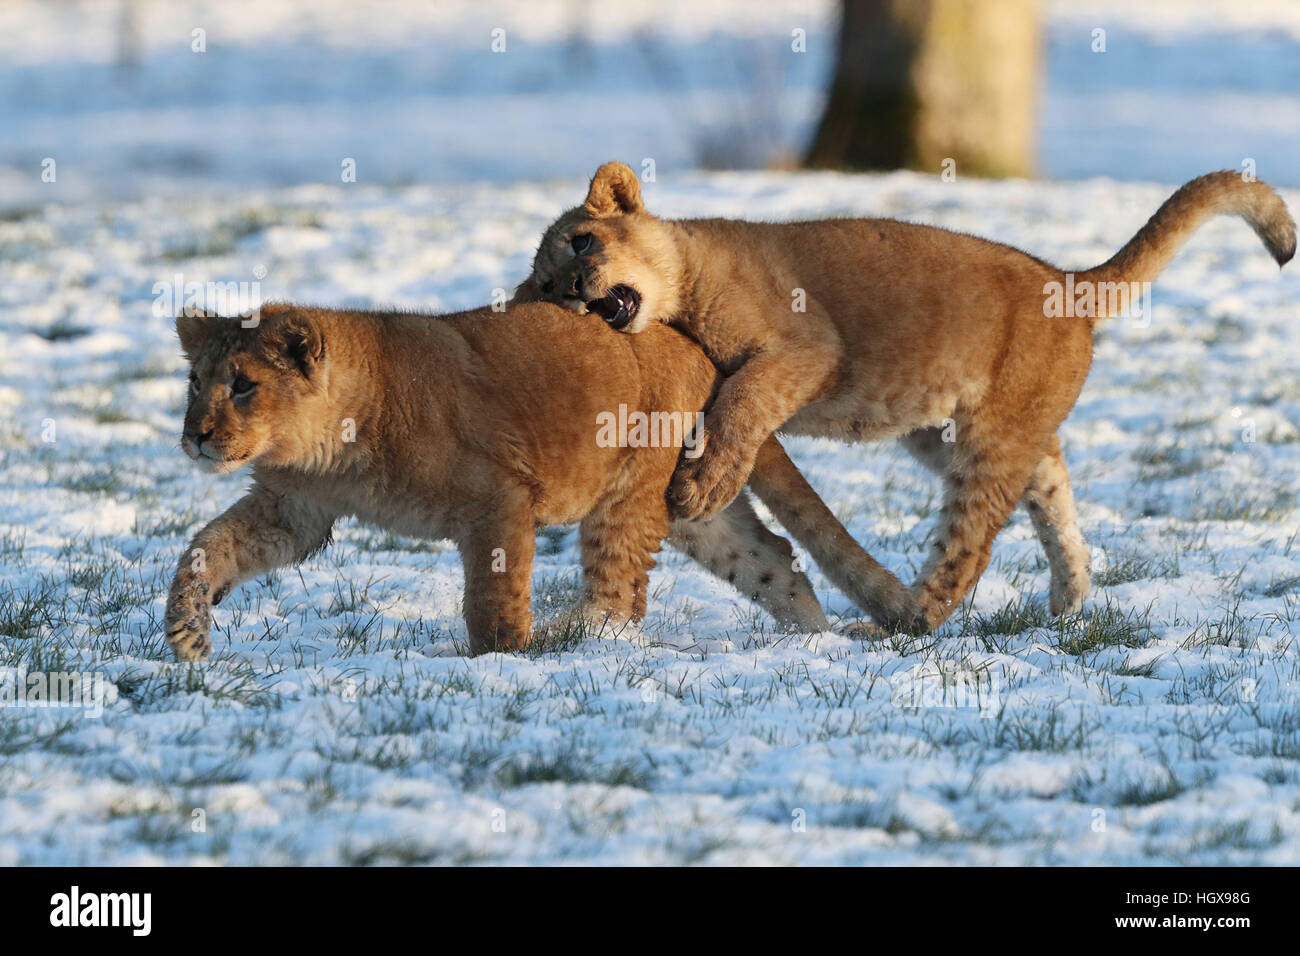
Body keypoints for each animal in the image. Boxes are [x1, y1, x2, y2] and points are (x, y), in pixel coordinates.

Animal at [164, 302, 922, 662]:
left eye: (243, 385)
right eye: (197, 381)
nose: (196, 435)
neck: (329, 447)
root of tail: (708, 359)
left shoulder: (499, 498)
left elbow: (493, 598)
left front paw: (499, 658)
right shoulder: (294, 509)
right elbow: (207, 548)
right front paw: (188, 638)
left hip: (626, 494)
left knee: (619, 600)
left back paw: (564, 636)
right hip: (692, 508)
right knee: (773, 557)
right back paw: (813, 641)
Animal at [515, 163, 1295, 631]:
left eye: (582, 243)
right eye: (547, 288)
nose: (574, 291)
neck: (683, 276)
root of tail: (1067, 281)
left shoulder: (807, 349)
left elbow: (743, 404)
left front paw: (702, 487)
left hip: (987, 442)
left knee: (968, 546)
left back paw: (906, 619)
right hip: (950, 431)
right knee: (1051, 481)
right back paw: (1070, 597)